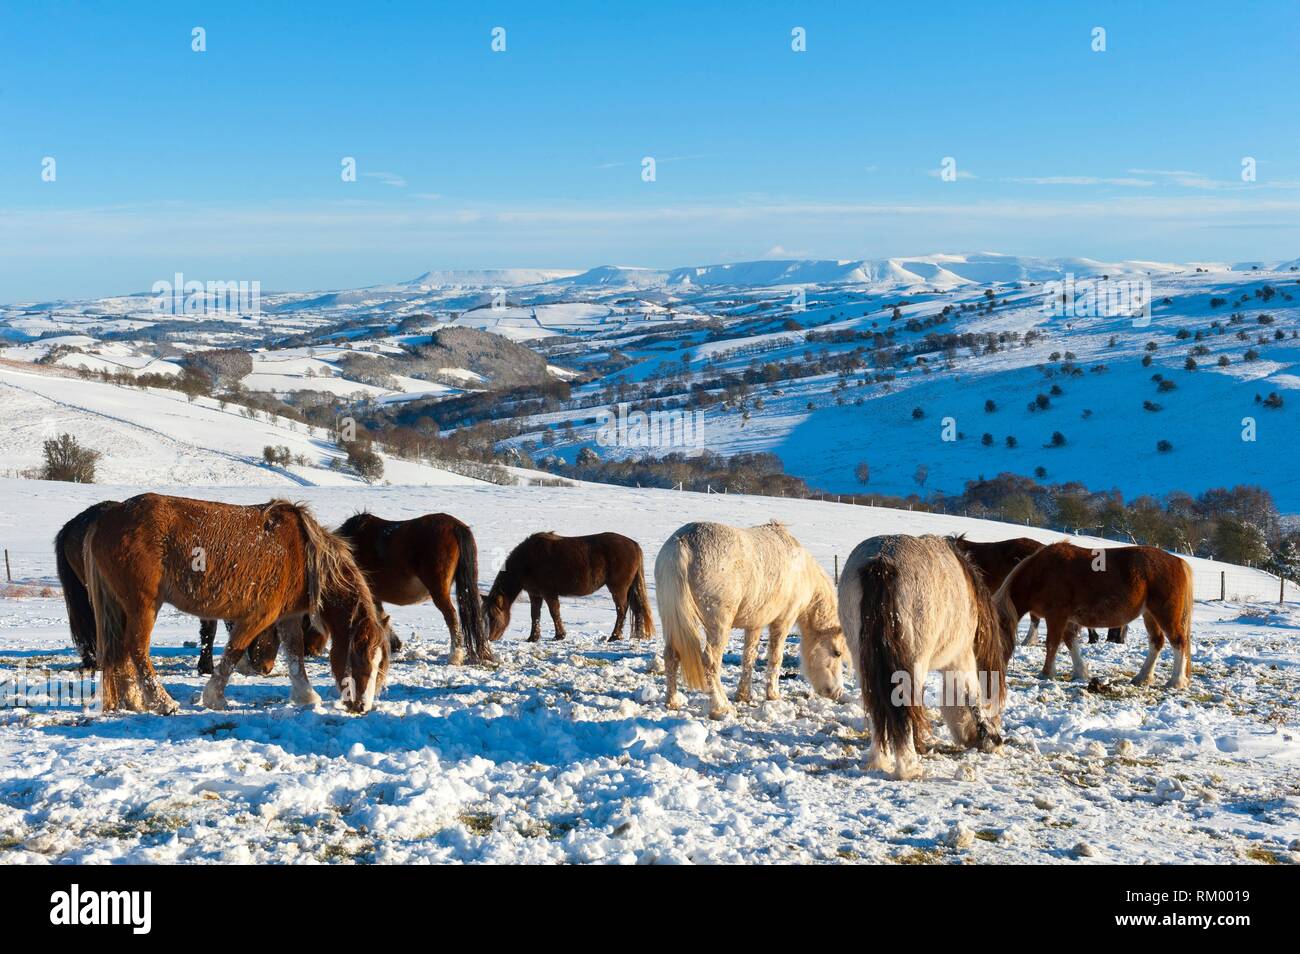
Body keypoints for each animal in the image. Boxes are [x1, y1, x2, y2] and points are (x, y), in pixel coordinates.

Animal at [81, 493, 389, 713]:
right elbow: (232, 653)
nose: (362, 707)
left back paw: (134, 702)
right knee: (136, 649)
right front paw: (214, 698)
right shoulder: (258, 616)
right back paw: (162, 703)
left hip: (123, 607)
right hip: (143, 605)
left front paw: (306, 697)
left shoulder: (288, 617)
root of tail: (107, 518)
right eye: (359, 657)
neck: (303, 554)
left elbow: (295, 655)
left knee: (122, 652)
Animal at [484, 531, 653, 644]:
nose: (490, 638)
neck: (527, 561)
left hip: (618, 588)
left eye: (494, 617)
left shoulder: (548, 593)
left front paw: (560, 635)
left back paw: (615, 636)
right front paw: (533, 637)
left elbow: (554, 612)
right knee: (636, 609)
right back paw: (636, 635)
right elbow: (535, 615)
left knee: (621, 610)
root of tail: (634, 544)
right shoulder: (535, 594)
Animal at [655, 521, 846, 719]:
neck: (803, 572)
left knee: (671, 656)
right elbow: (776, 657)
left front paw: (744, 695)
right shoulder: (783, 620)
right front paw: (773, 695)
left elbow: (749, 657)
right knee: (710, 661)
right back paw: (722, 707)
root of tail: (682, 542)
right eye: (837, 653)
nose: (837, 692)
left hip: (671, 621)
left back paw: (672, 702)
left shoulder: (755, 624)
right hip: (719, 624)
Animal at [839, 534, 1017, 780]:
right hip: (914, 664)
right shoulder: (961, 658)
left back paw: (878, 761)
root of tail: (881, 562)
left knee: (876, 705)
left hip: (863, 661)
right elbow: (970, 695)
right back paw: (910, 768)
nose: (998, 740)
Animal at [994, 540, 1193, 688]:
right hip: (1149, 615)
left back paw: (1175, 681)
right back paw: (1143, 677)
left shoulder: (1056, 615)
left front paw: (1046, 673)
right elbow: (1070, 642)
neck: (1040, 573)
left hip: (1165, 614)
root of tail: (1178, 561)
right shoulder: (1067, 619)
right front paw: (1080, 673)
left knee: (1178, 642)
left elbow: (1052, 643)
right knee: (1156, 642)